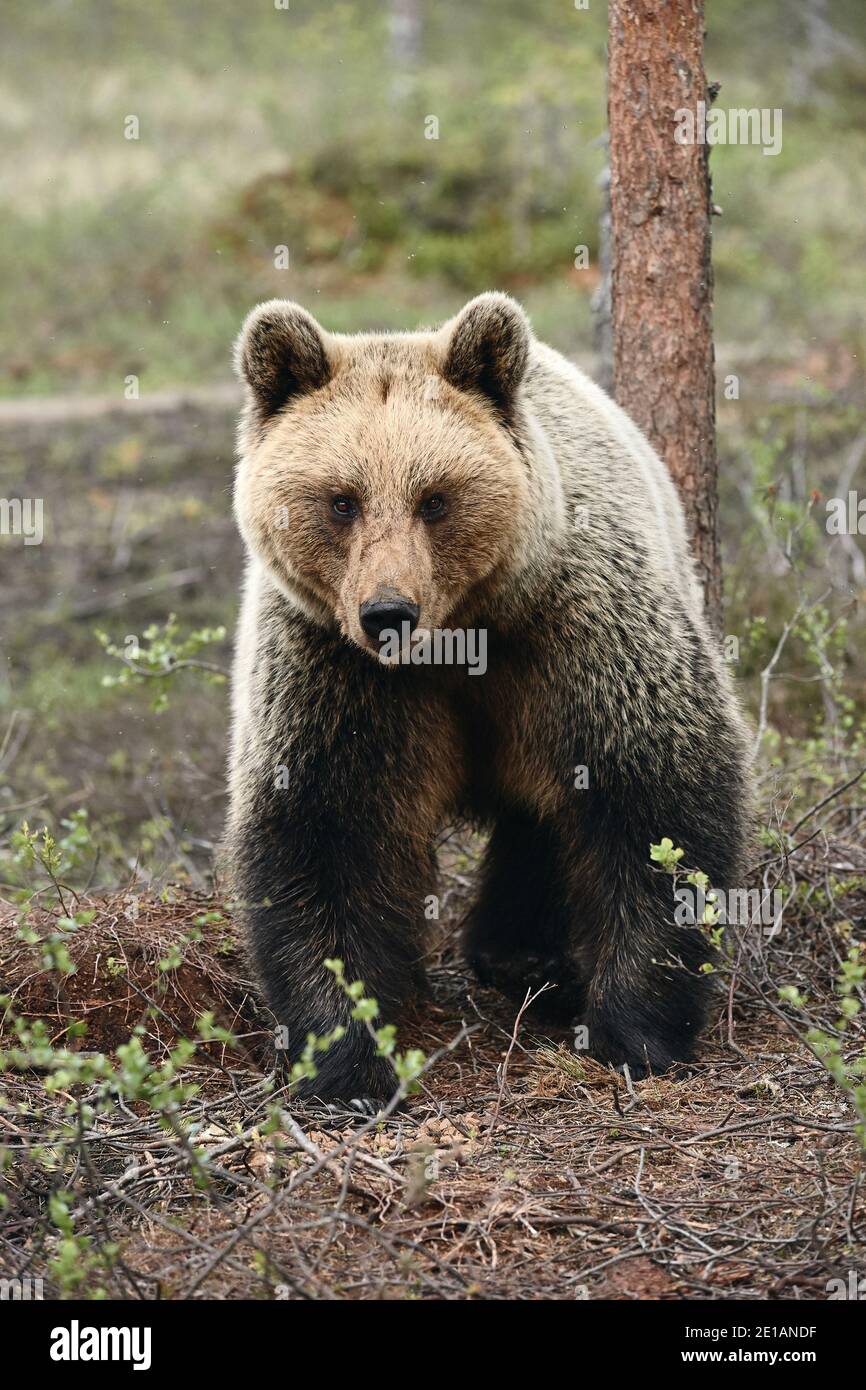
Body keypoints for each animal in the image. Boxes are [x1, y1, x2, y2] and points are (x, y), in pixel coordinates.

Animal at [226, 291, 753, 1107]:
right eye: (341, 500)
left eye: (435, 498)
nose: (387, 612)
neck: (456, 642)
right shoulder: (332, 668)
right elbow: (323, 829)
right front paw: (346, 1057)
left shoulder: (577, 631)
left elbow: (655, 796)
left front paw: (635, 1030)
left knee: (548, 823)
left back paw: (527, 957)